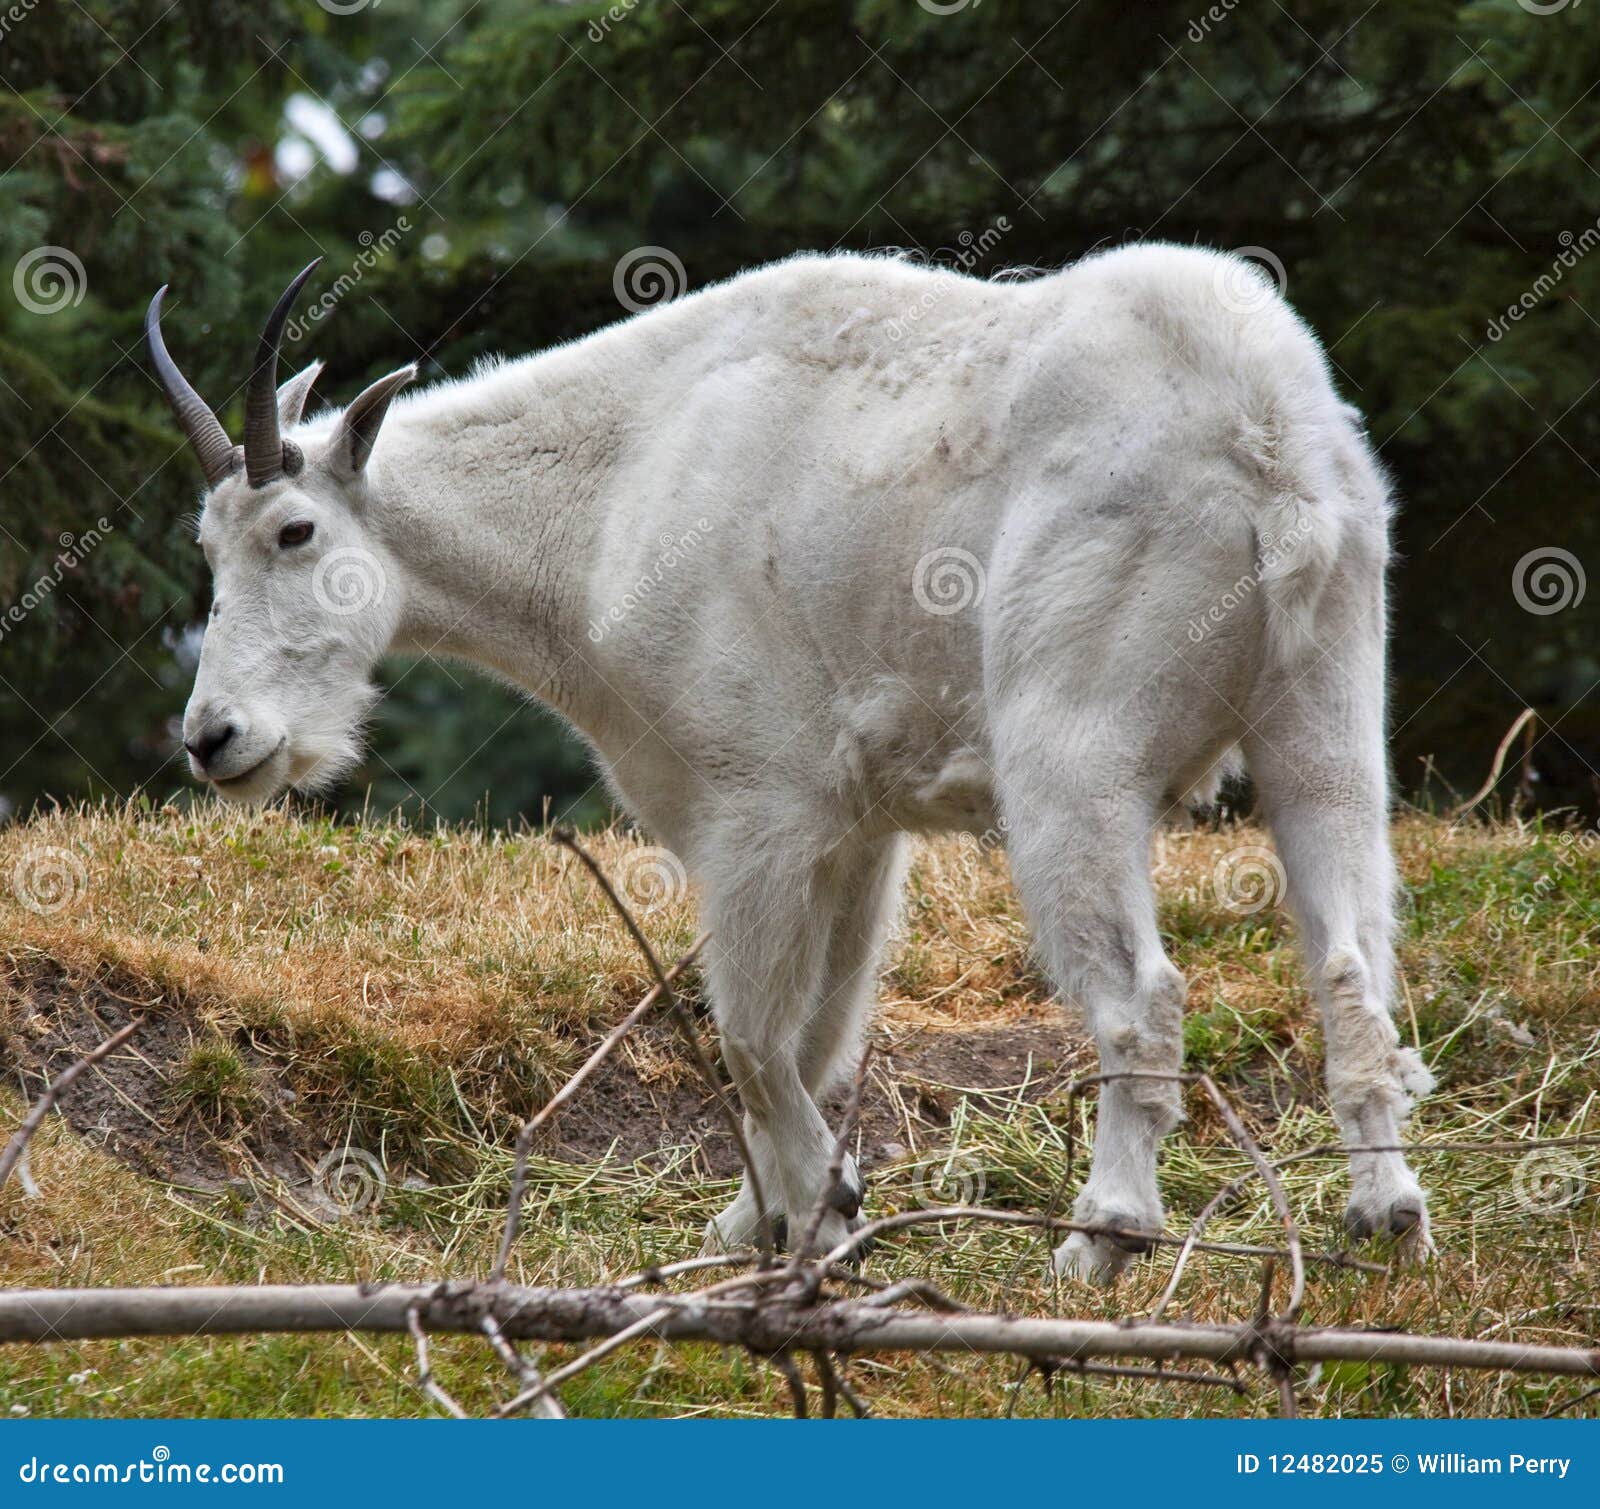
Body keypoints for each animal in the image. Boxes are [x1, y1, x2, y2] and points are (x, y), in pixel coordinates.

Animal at [148, 244, 1433, 1280]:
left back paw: (1104, 1237)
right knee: (1349, 960)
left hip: (1073, 752)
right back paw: (1386, 1216)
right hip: (1326, 701)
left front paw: (823, 1212)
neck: (605, 495)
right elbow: (819, 1035)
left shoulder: (755, 813)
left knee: (1140, 996)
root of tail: (1265, 444)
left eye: (295, 531)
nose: (215, 740)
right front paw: (757, 1222)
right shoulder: (853, 828)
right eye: (206, 544)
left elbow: (751, 1038)